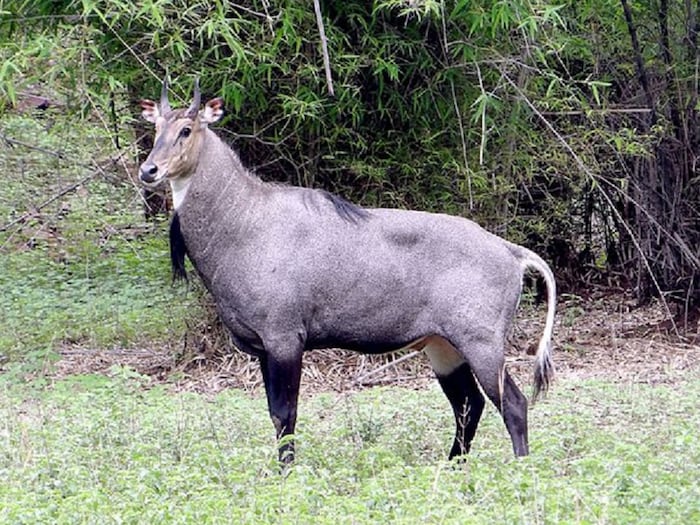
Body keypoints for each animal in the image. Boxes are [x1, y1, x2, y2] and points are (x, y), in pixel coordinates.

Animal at [138, 79, 556, 464]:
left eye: (186, 129)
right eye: (155, 127)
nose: (148, 170)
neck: (244, 220)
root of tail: (511, 252)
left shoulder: (285, 339)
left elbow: (285, 415)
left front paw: (286, 476)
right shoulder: (262, 347)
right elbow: (274, 416)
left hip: (482, 343)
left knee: (513, 404)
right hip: (443, 346)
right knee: (468, 405)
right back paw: (452, 467)